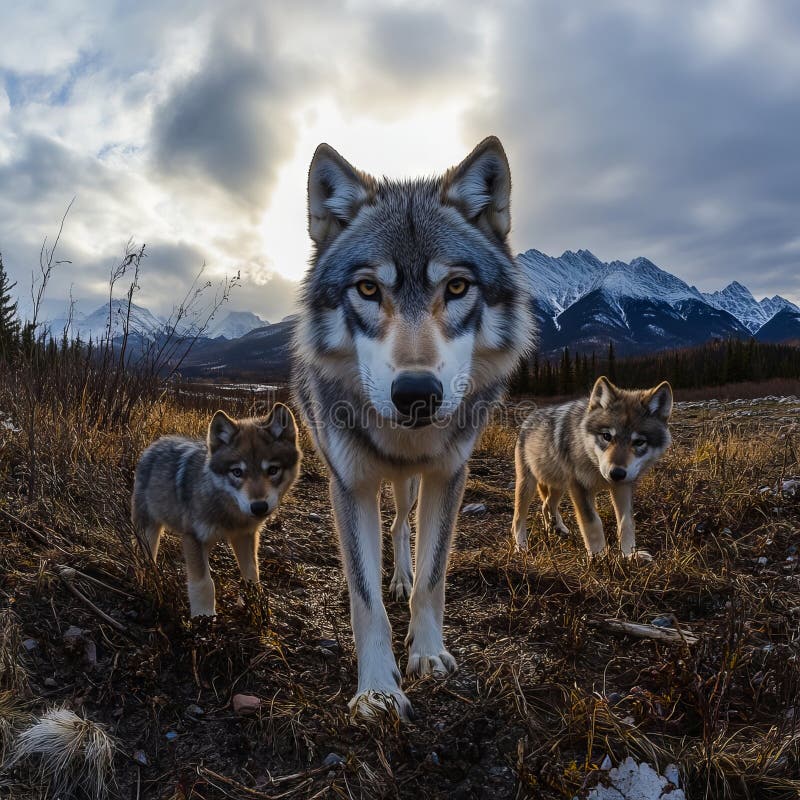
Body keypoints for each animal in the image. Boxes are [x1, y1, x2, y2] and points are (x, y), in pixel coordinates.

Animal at [131, 404, 300, 617]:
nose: (259, 507)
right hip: (149, 530)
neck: (228, 512)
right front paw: (204, 617)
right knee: (145, 556)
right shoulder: (193, 538)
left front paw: (257, 605)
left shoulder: (245, 536)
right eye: (237, 472)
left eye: (272, 470)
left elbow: (252, 575)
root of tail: (154, 444)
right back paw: (147, 578)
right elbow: (204, 583)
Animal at [292, 136, 536, 718]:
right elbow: (365, 600)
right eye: (366, 289)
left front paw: (427, 655)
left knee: (402, 523)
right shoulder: (350, 485)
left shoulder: (449, 475)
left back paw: (400, 576)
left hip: (410, 484)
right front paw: (378, 689)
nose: (417, 393)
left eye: (457, 286)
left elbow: (432, 577)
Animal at [512, 377, 673, 561]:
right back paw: (521, 547)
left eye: (639, 442)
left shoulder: (623, 487)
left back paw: (557, 528)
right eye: (607, 436)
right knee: (518, 519)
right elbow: (593, 523)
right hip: (528, 485)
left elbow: (627, 522)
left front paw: (629, 556)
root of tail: (530, 417)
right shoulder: (580, 488)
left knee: (546, 505)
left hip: (559, 486)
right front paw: (600, 558)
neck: (594, 464)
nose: (616, 473)